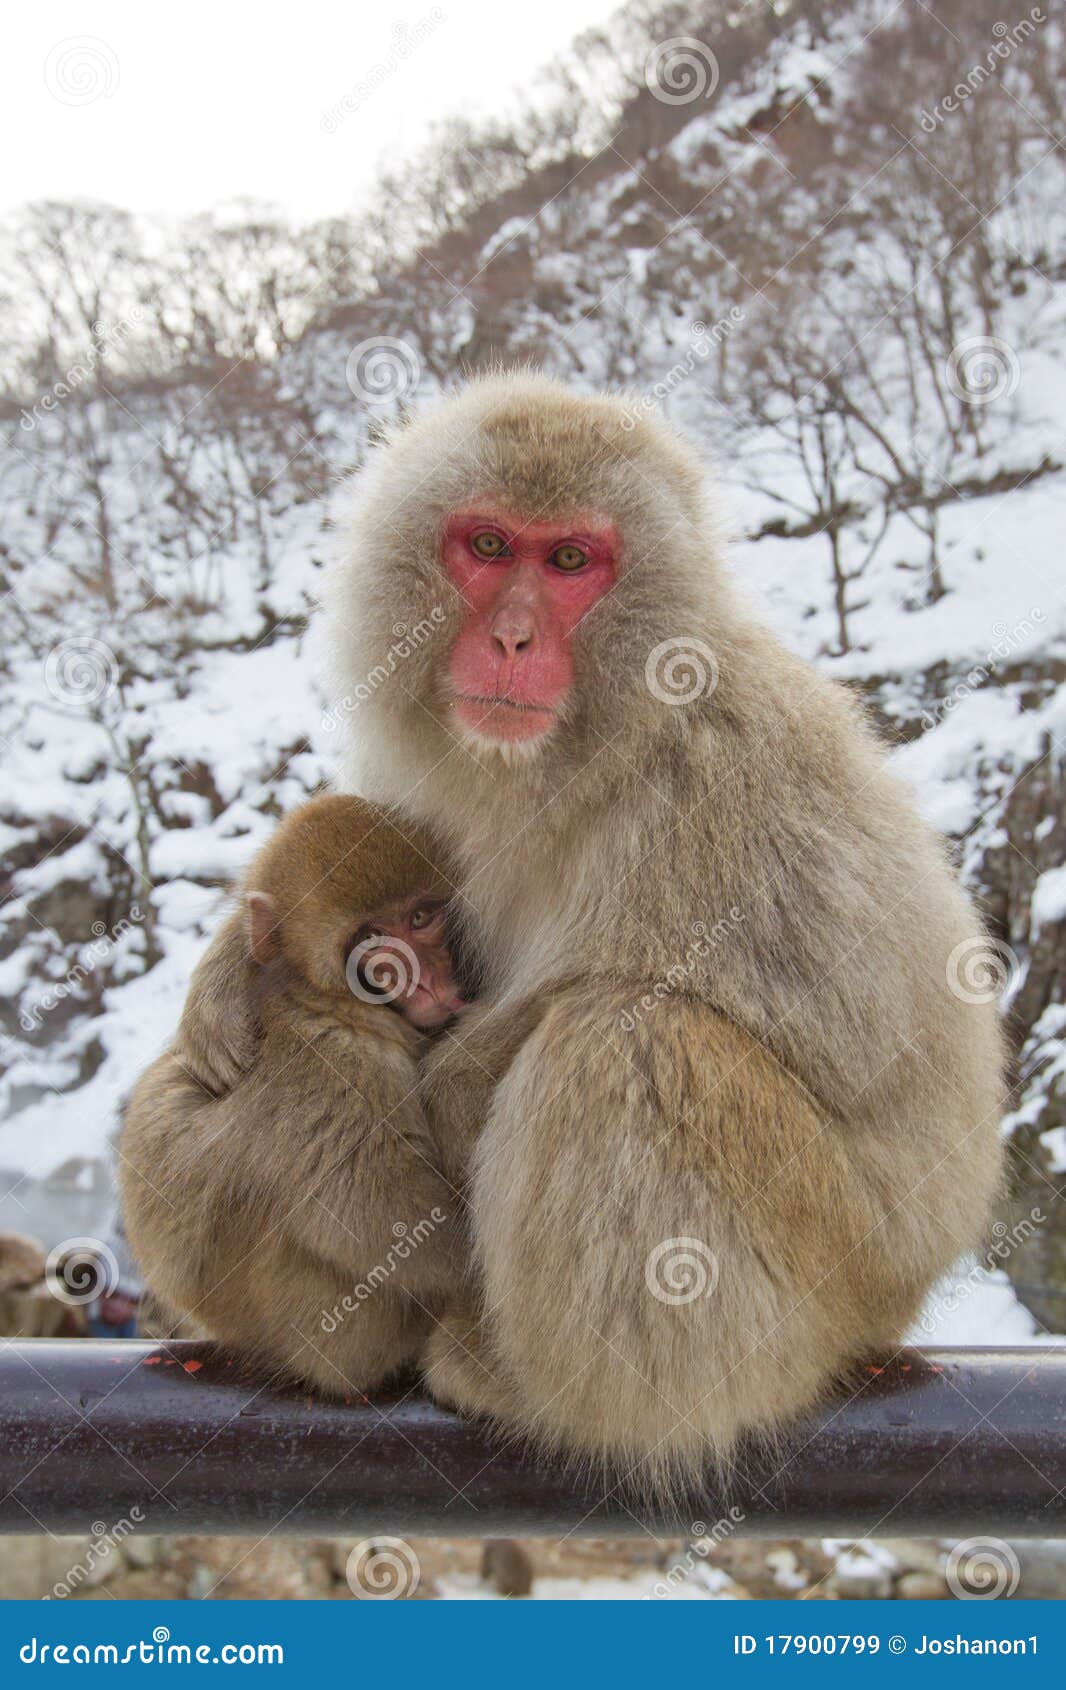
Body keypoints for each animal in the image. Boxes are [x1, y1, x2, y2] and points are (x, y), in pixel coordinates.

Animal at [120, 794, 467, 1397]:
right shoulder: (336, 1066)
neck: (322, 993)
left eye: (420, 919)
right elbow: (389, 1215)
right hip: (337, 1340)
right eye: (373, 944)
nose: (425, 982)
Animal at [172, 373, 1005, 1500]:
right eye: (487, 546)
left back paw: (564, 1401)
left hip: (833, 1278)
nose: (514, 640)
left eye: (570, 561)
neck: (580, 750)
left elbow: (730, 998)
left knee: (622, 1041)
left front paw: (430, 1086)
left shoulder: (716, 775)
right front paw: (229, 972)